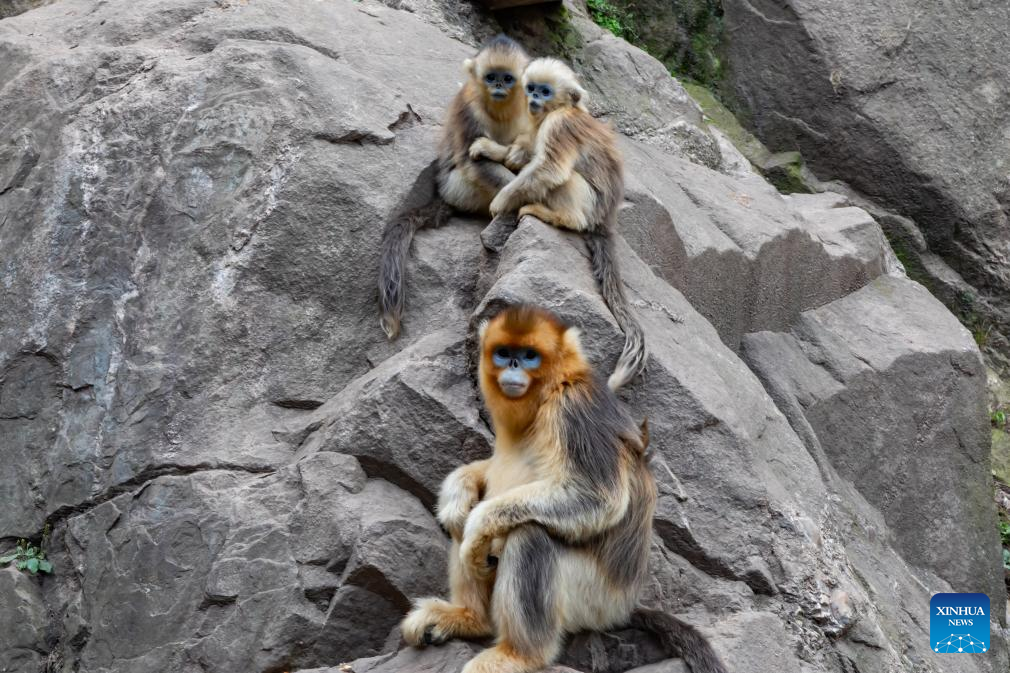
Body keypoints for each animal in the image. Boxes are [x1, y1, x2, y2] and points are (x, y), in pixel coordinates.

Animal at [377, 34, 534, 340]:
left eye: (508, 78)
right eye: (491, 77)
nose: (498, 87)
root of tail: (445, 194)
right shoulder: (469, 107)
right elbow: (474, 160)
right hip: (461, 189)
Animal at [400, 305, 727, 673]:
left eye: (529, 356)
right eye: (504, 353)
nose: (513, 366)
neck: (548, 393)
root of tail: (625, 606)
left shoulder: (574, 408)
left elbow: (598, 498)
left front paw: (479, 522)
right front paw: (458, 489)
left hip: (594, 601)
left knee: (529, 534)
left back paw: (520, 654)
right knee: (466, 522)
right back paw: (470, 618)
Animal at [468, 57, 646, 392]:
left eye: (545, 91)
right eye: (531, 88)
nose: (534, 99)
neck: (560, 109)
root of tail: (605, 220)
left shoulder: (560, 124)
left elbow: (548, 168)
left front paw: (501, 201)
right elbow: (525, 152)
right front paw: (494, 150)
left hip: (588, 206)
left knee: (566, 177)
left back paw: (557, 216)